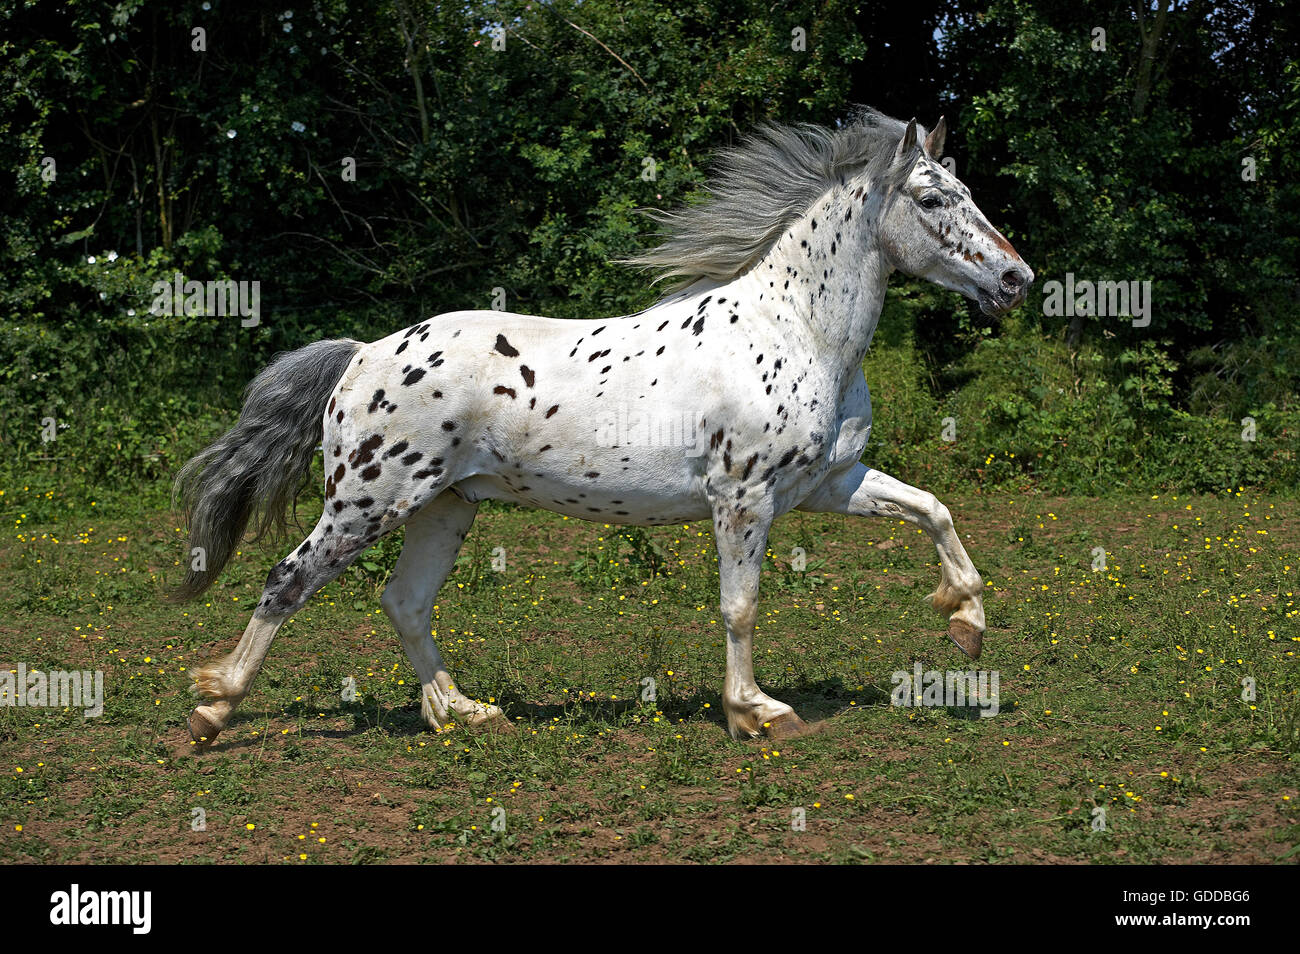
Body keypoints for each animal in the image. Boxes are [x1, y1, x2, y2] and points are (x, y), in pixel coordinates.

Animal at [174, 108, 1033, 745]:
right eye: (932, 199)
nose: (1016, 278)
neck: (795, 331)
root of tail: (360, 357)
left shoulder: (826, 482)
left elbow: (932, 510)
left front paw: (966, 623)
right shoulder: (742, 498)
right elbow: (741, 606)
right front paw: (756, 713)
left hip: (444, 507)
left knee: (405, 604)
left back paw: (466, 713)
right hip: (367, 503)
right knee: (288, 581)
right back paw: (212, 708)